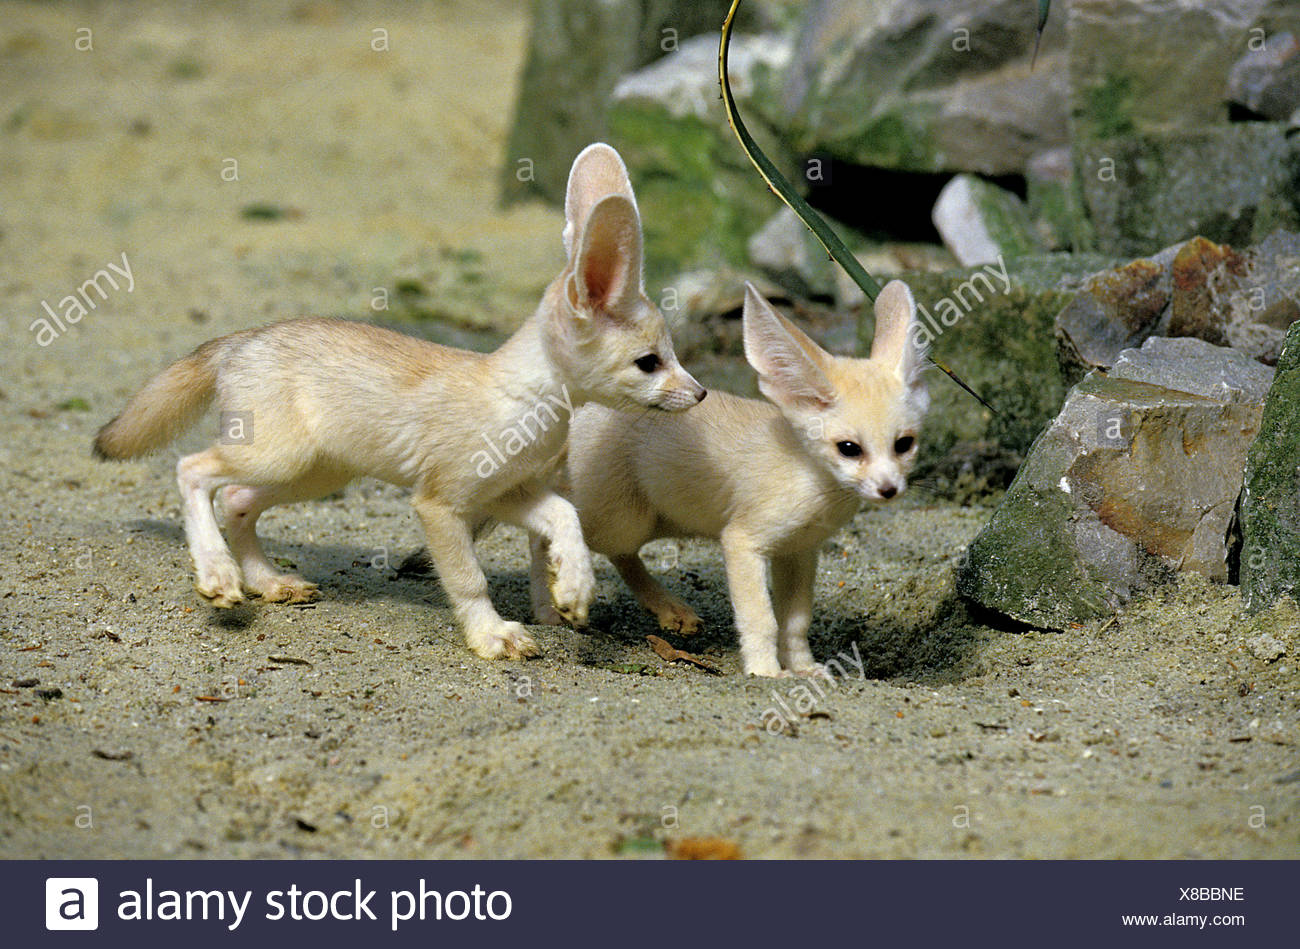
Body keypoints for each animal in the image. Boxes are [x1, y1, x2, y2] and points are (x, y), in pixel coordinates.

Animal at [93, 143, 706, 662]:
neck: (521, 404)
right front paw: (491, 635)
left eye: (671, 354)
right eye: (649, 363)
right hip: (277, 458)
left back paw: (267, 581)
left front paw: (573, 588)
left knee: (239, 499)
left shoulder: (507, 492)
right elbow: (469, 578)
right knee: (192, 469)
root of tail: (239, 338)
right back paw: (219, 575)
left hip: (312, 472)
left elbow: (565, 517)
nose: (700, 394)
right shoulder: (440, 502)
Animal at [531, 280, 927, 677]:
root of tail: (584, 402)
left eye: (904, 445)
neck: (813, 481)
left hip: (658, 519)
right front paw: (766, 671)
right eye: (849, 449)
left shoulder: (799, 551)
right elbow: (762, 620)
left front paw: (803, 668)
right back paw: (551, 599)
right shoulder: (742, 542)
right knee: (550, 526)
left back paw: (667, 608)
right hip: (622, 521)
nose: (889, 490)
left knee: (616, 553)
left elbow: (796, 623)